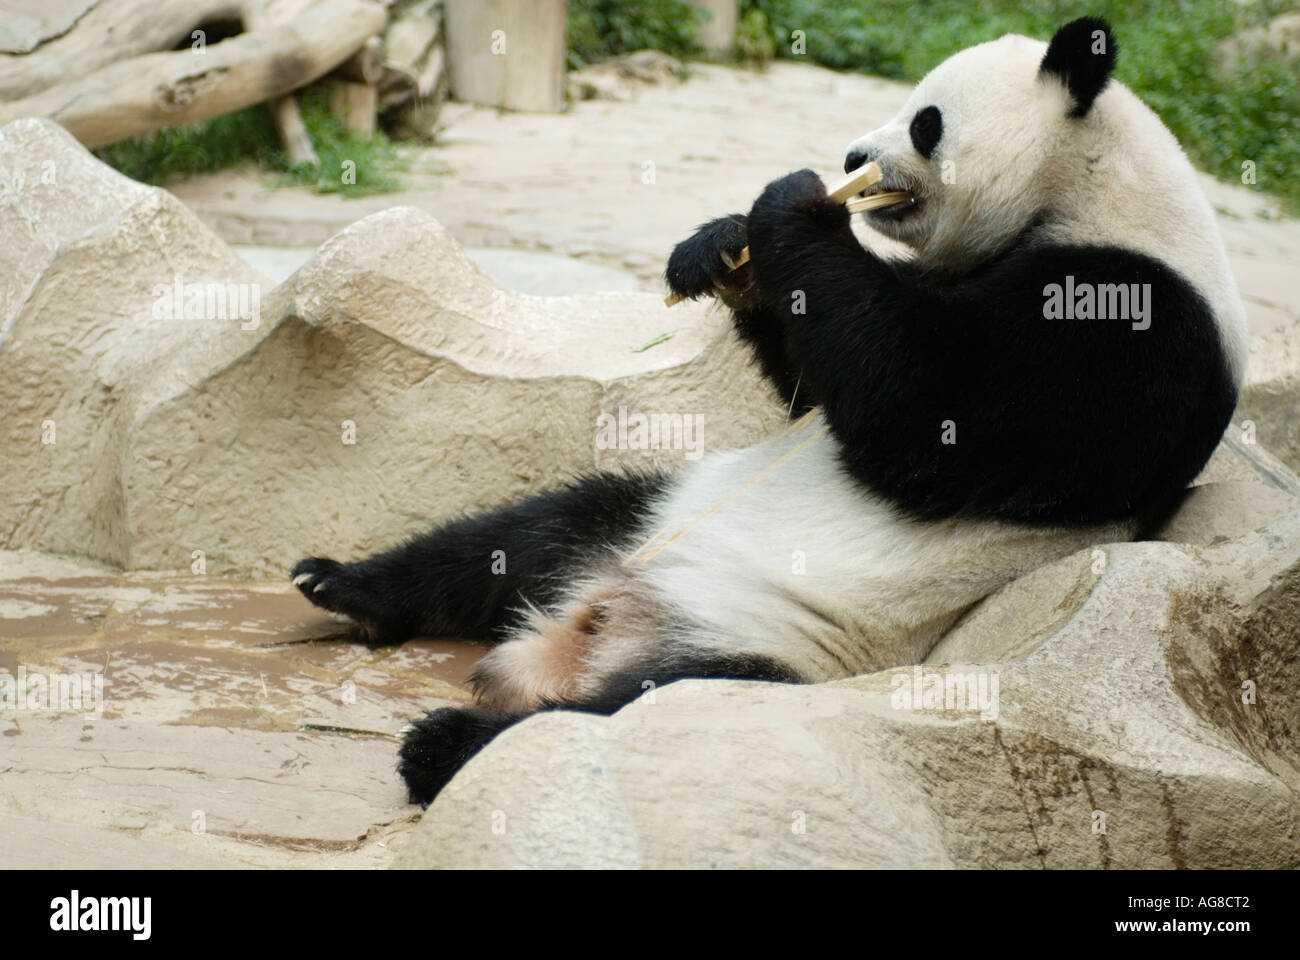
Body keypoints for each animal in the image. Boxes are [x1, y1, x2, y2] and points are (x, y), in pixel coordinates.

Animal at [291, 17, 1246, 806]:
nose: (854, 155)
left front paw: (792, 204)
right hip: (644, 516)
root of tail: (594, 628)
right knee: (519, 532)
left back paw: (443, 742)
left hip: (770, 651)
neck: (1086, 188)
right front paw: (722, 248)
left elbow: (931, 421)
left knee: (631, 715)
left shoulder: (1134, 325)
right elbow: (822, 380)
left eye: (925, 121)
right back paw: (345, 586)